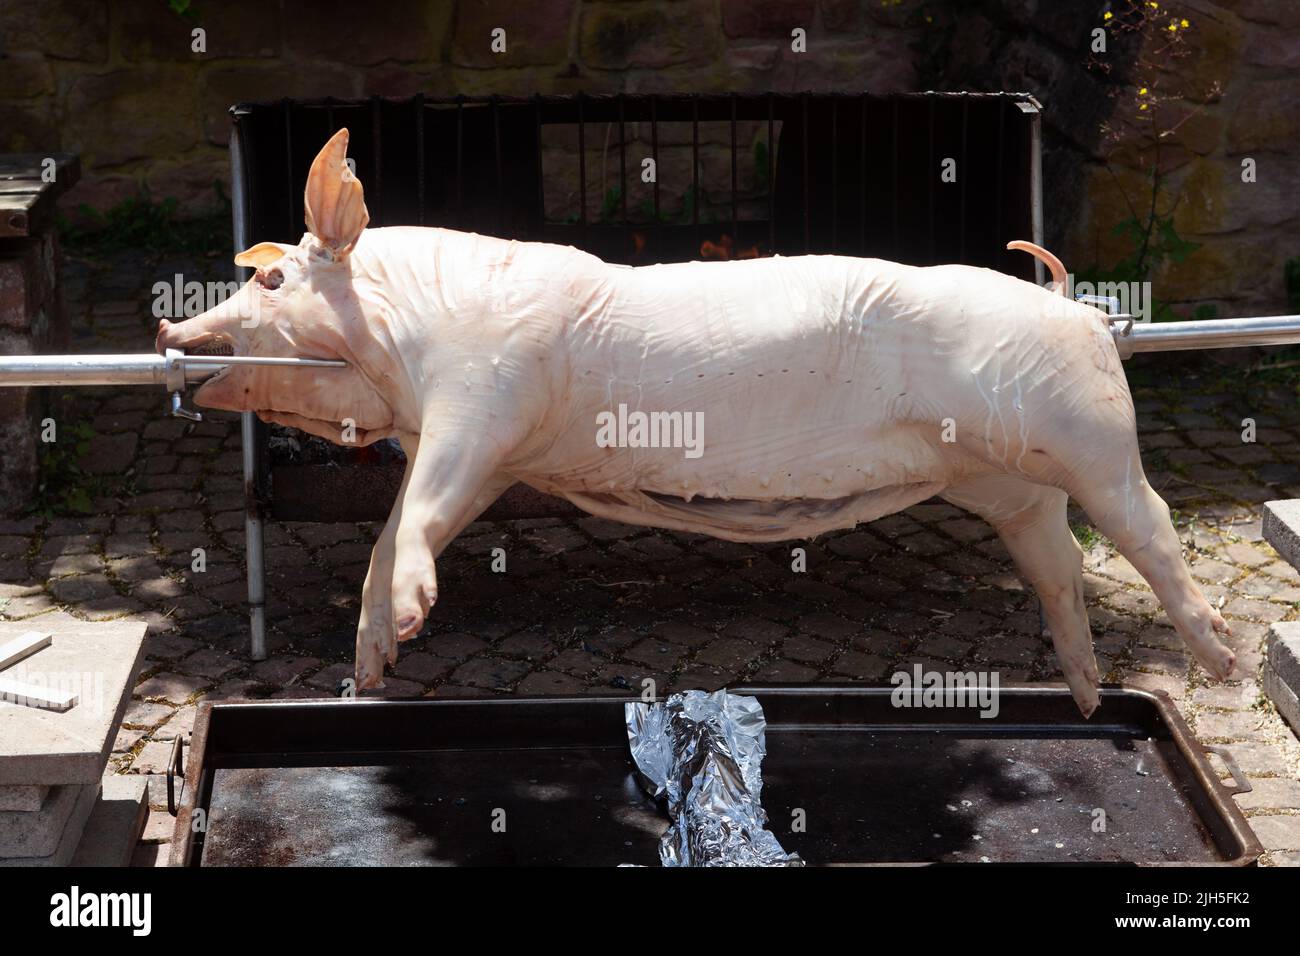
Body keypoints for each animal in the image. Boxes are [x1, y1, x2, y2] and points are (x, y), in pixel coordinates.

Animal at [156, 129, 1235, 715]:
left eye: (270, 279)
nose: (170, 326)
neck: (411, 329)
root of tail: (1080, 310)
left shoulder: (484, 401)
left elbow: (419, 517)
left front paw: (416, 616)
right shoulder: (480, 451)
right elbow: (392, 533)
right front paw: (371, 665)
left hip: (1089, 439)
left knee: (1150, 524)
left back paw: (1219, 660)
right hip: (1008, 484)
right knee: (1060, 564)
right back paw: (1088, 692)